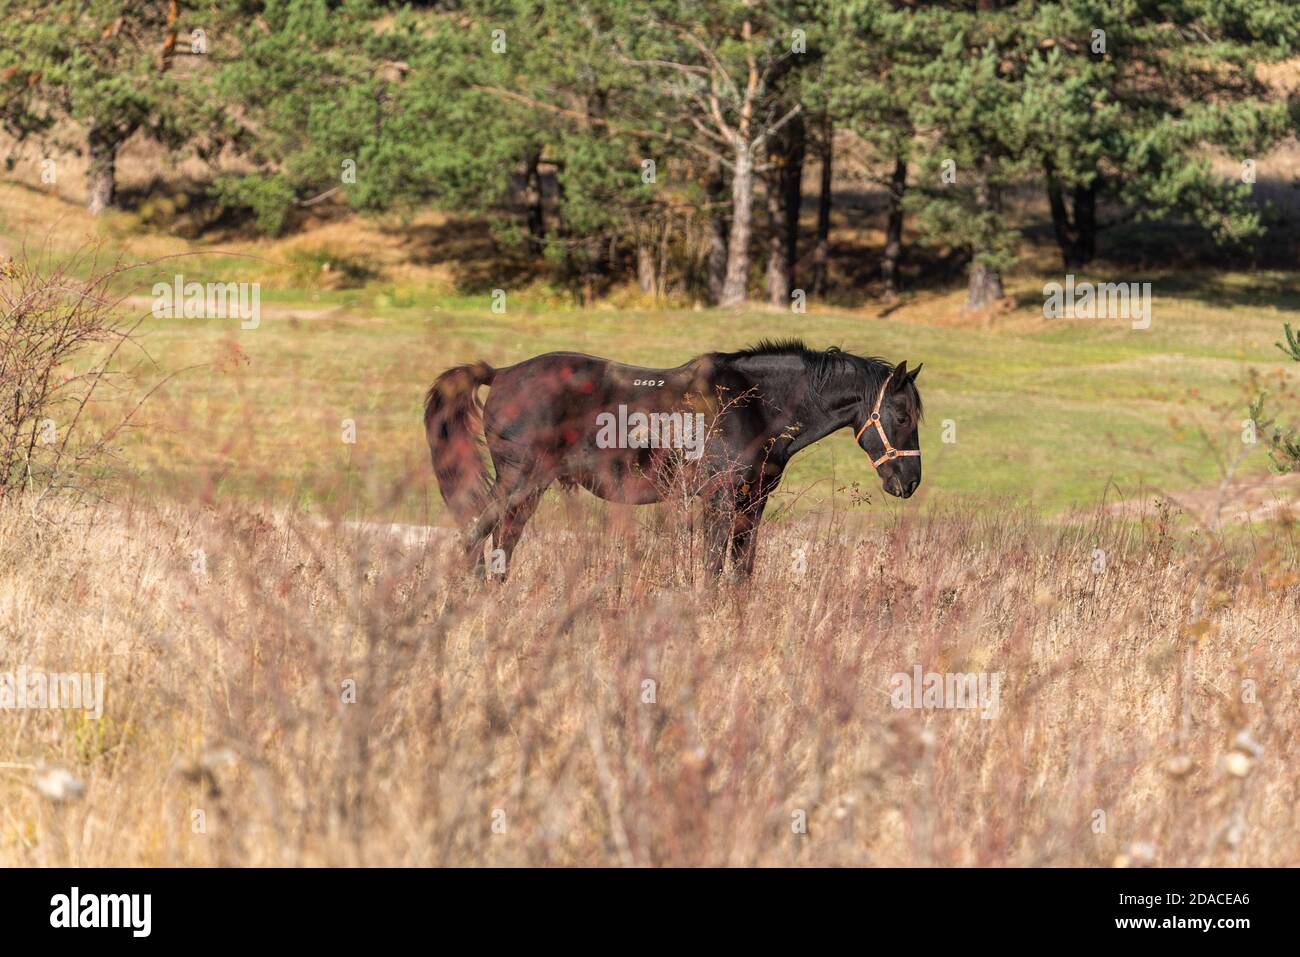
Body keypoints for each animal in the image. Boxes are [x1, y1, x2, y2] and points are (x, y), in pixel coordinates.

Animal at [424, 340, 923, 578]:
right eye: (901, 415)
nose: (910, 480)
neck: (753, 402)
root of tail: (501, 373)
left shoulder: (753, 502)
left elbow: (741, 570)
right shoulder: (719, 501)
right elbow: (712, 566)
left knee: (499, 544)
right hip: (518, 482)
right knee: (475, 535)